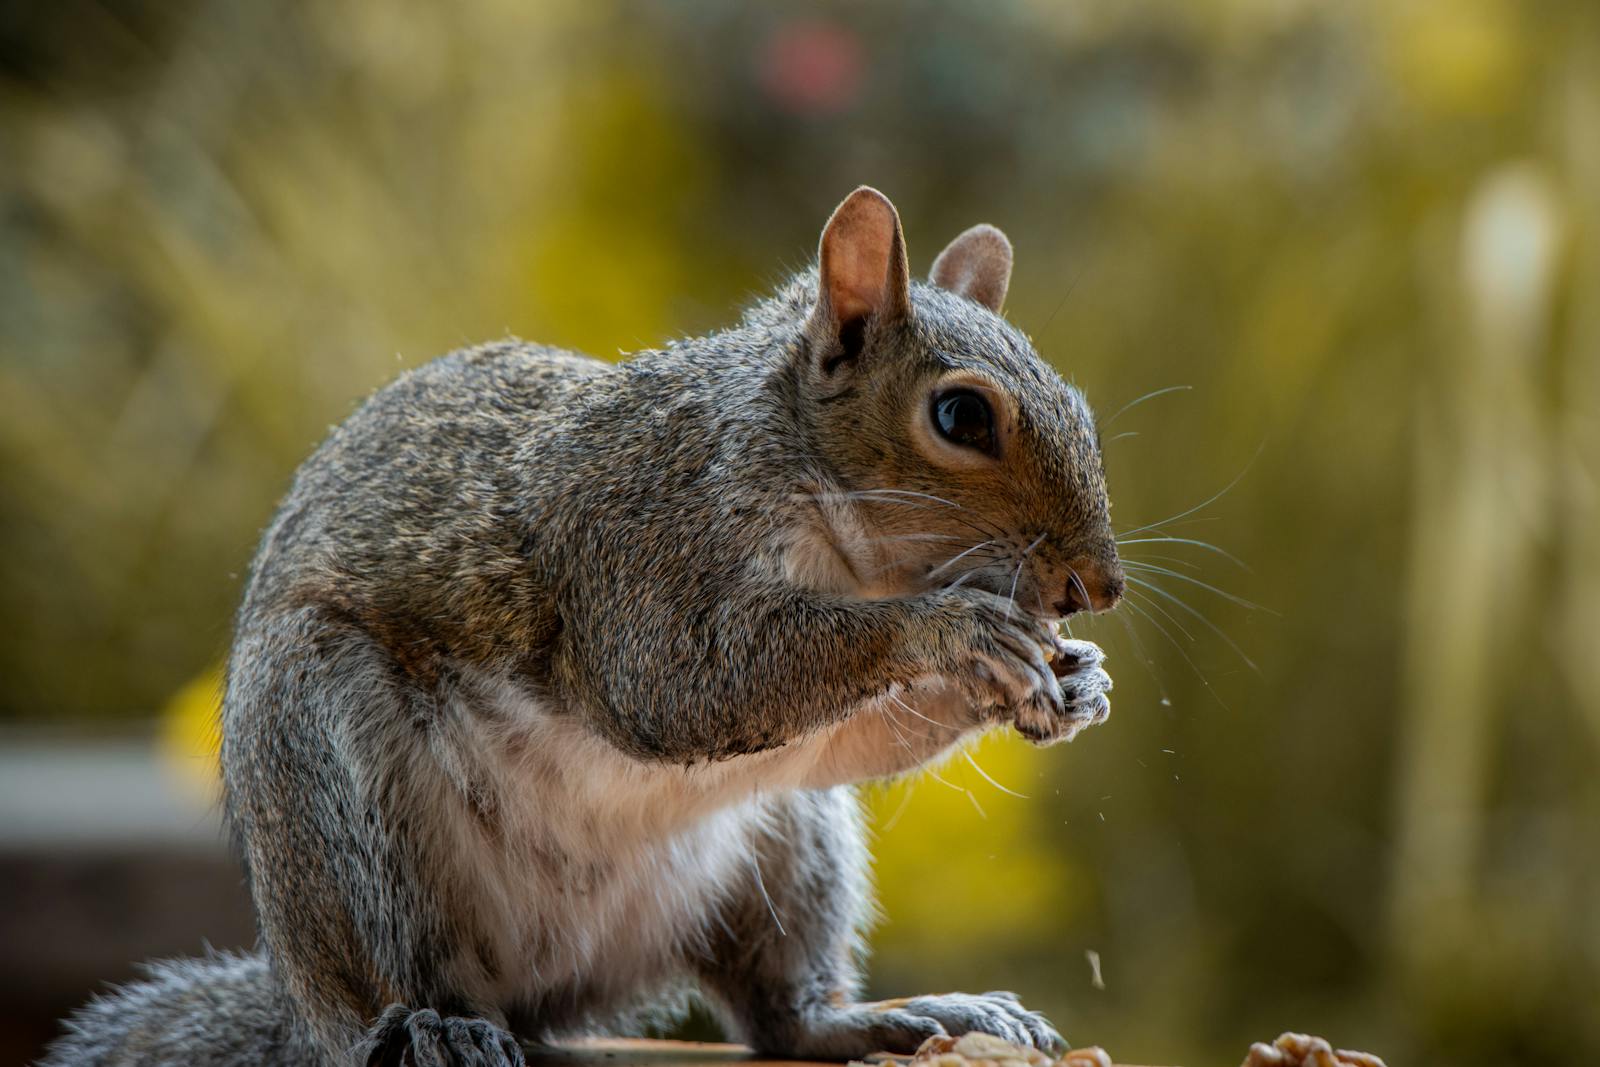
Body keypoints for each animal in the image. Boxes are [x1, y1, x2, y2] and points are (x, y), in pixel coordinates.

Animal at [46, 187, 1123, 1067]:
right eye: (960, 416)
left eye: (1080, 406)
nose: (1098, 587)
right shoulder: (635, 548)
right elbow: (686, 684)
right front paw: (952, 630)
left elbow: (845, 736)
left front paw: (1076, 680)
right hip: (325, 777)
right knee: (371, 997)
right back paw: (423, 1025)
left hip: (786, 846)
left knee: (776, 1013)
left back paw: (886, 1016)